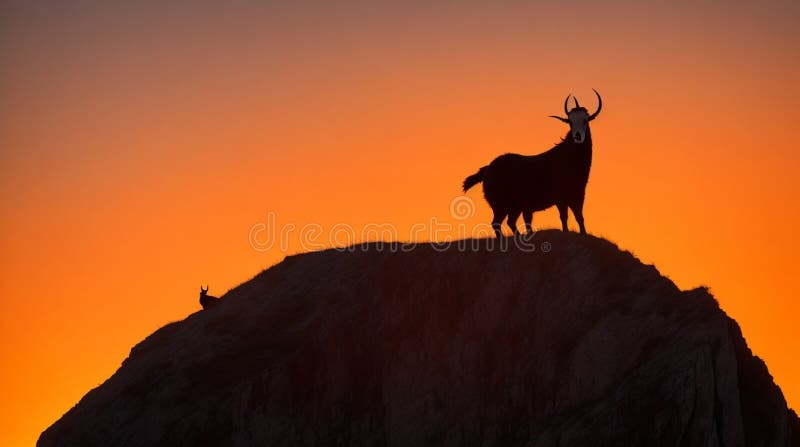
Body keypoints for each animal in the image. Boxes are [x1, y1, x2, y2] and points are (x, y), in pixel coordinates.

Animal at [463, 89, 602, 238]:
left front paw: (584, 233)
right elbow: (564, 217)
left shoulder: (579, 194)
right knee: (496, 223)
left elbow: (579, 217)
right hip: (501, 205)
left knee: (510, 221)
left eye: (586, 120)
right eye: (570, 122)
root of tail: (488, 169)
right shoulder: (560, 197)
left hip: (515, 207)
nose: (577, 136)